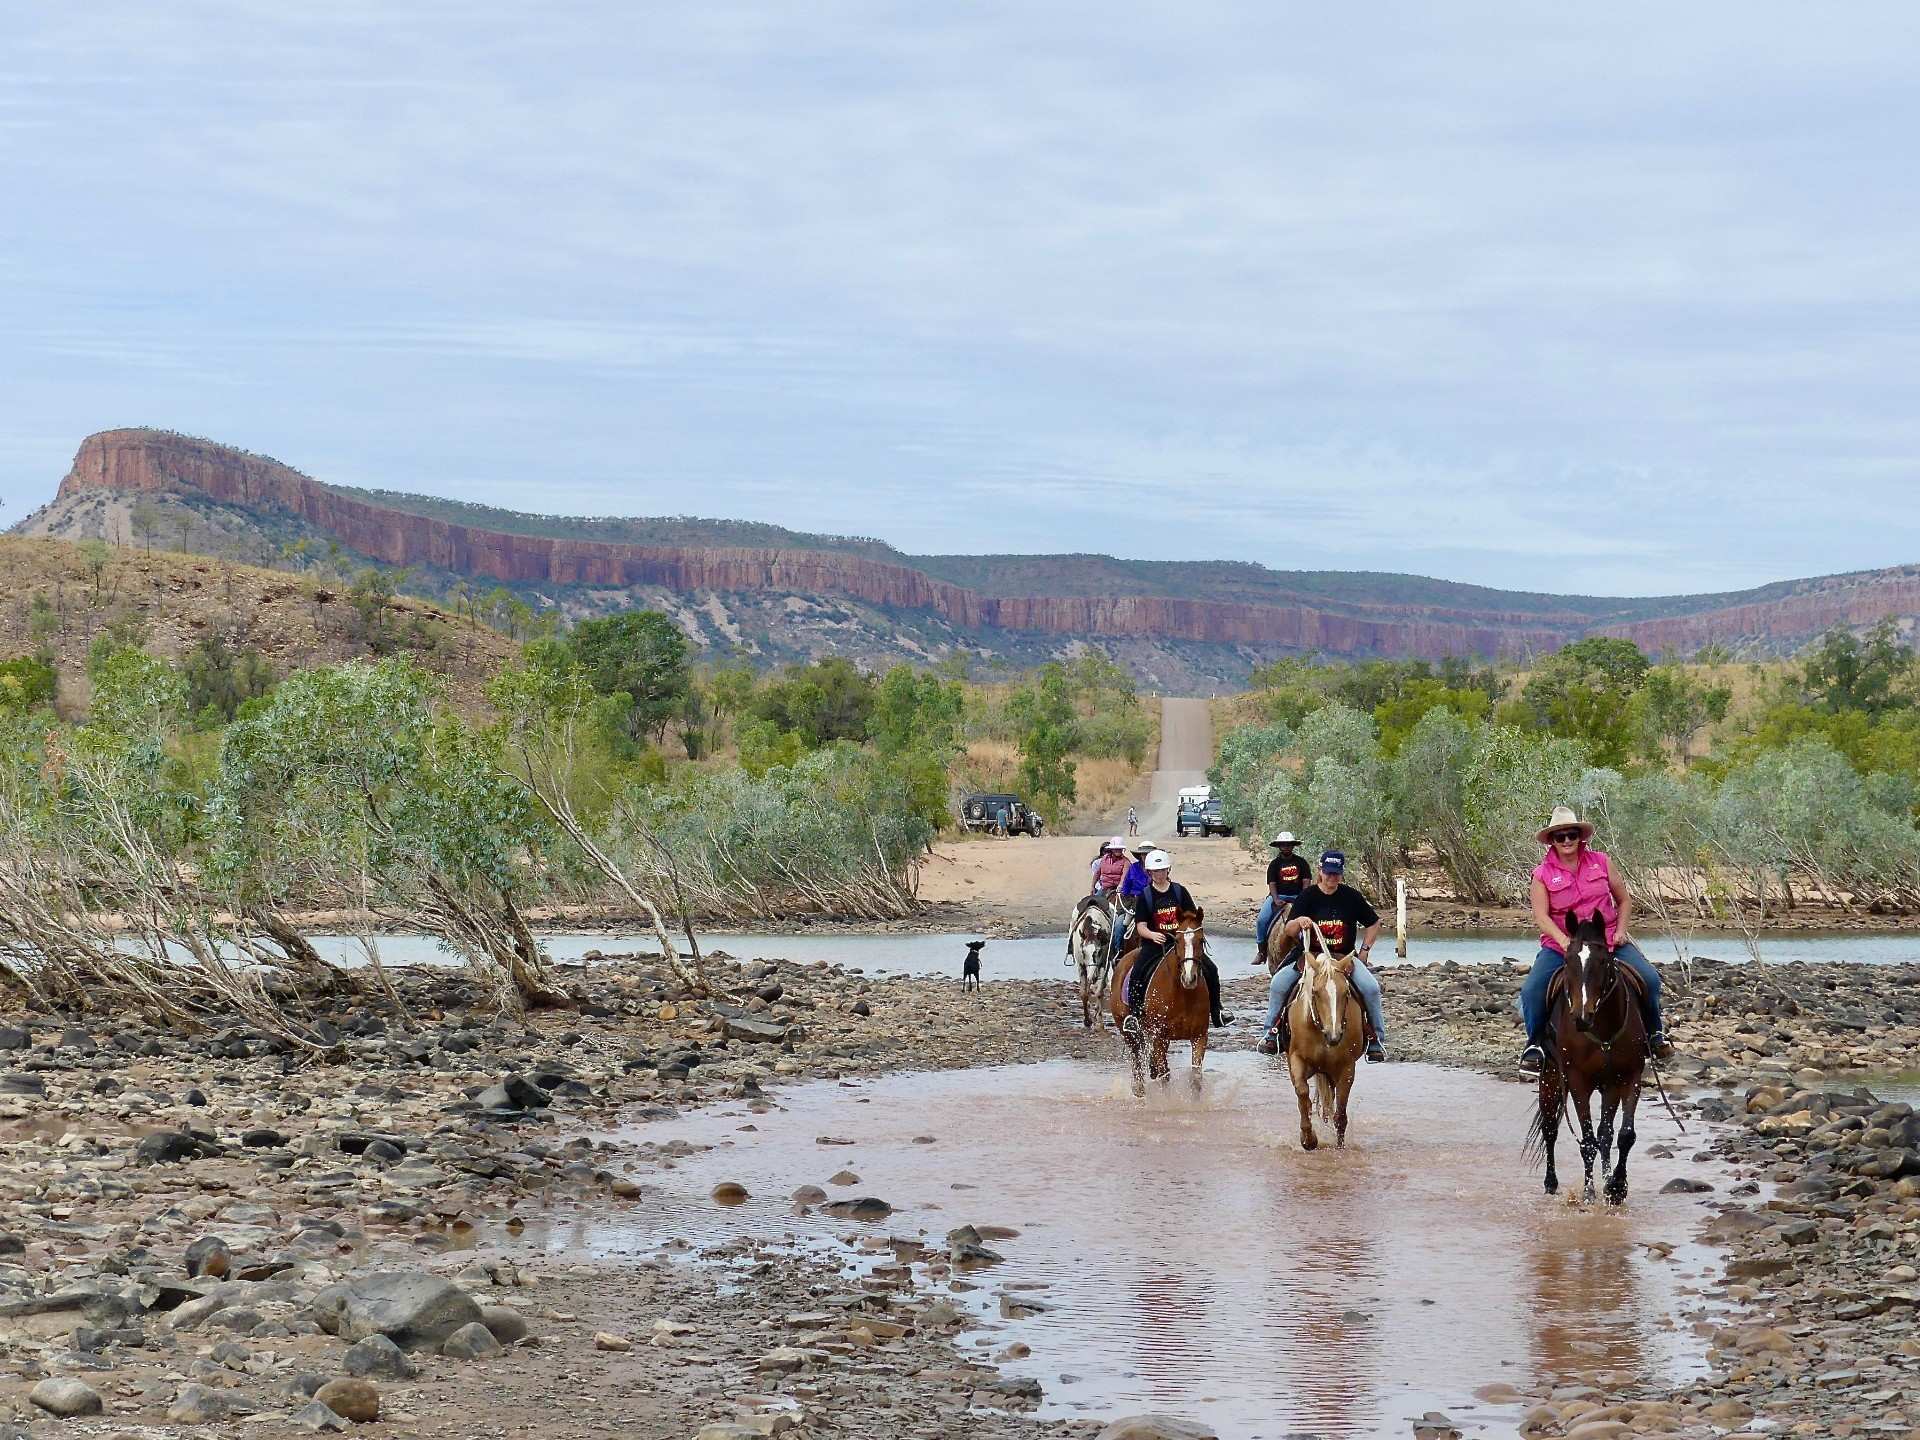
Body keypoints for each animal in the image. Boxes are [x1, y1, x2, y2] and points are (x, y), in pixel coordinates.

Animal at [1067, 894, 1121, 1029]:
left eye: (1099, 951)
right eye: (1083, 951)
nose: (1092, 976)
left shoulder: (1104, 964)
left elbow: (1099, 991)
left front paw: (1099, 1020)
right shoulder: (1081, 965)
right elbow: (1084, 993)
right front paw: (1087, 1020)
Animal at [1108, 909, 1211, 1098]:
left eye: (1201, 940)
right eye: (1177, 940)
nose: (1189, 978)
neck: (1182, 994)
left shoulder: (1199, 1036)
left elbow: (1195, 1077)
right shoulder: (1159, 1038)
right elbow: (1164, 1076)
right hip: (1129, 1033)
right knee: (1137, 1064)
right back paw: (1140, 1092)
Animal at [1285, 920, 1365, 1150]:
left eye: (1346, 993)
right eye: (1315, 992)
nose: (1334, 1035)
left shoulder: (1346, 1069)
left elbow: (1340, 1115)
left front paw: (1339, 1149)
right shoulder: (1295, 1059)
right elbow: (1302, 1094)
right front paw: (1308, 1139)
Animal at [1526, 911, 1648, 1205]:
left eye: (1603, 960)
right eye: (1568, 960)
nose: (1582, 1017)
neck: (1602, 1030)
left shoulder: (1627, 1078)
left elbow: (1623, 1135)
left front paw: (1615, 1187)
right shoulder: (1577, 1081)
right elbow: (1588, 1141)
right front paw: (1589, 1192)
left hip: (1607, 1087)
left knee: (1606, 1134)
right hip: (1550, 1079)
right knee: (1550, 1128)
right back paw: (1551, 1183)